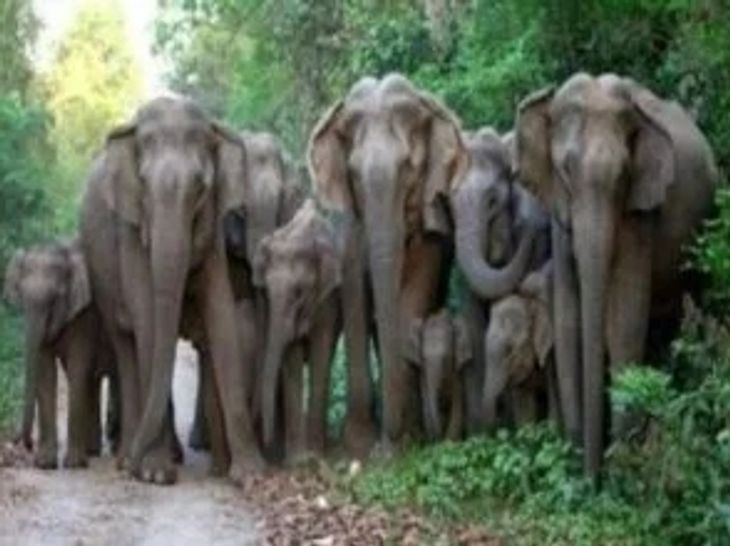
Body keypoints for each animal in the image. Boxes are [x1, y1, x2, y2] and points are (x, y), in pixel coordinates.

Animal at [3, 240, 115, 469]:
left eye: (56, 299)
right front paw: (45, 463)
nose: (27, 444)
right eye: (22, 297)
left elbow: (78, 366)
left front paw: (73, 464)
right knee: (93, 382)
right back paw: (92, 451)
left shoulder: (85, 314)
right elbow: (45, 371)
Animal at [80, 96, 261, 484]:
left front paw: (251, 474)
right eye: (143, 185)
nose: (135, 466)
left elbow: (221, 316)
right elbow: (148, 317)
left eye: (201, 189)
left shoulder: (213, 234)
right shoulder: (130, 230)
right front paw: (155, 474)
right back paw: (133, 458)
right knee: (126, 345)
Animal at [253, 199, 342, 464]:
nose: (267, 442)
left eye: (299, 292)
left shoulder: (328, 296)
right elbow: (291, 356)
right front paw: (296, 460)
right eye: (265, 292)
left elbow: (321, 348)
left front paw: (314, 455)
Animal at [403, 310, 471, 441]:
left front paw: (449, 442)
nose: (437, 439)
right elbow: (426, 399)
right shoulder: (423, 375)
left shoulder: (457, 371)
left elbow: (457, 402)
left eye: (446, 358)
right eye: (423, 358)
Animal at [515, 72, 718, 479]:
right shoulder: (559, 211)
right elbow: (568, 317)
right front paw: (576, 462)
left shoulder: (642, 209)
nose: (592, 477)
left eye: (624, 175)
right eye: (565, 170)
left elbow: (624, 315)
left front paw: (621, 469)